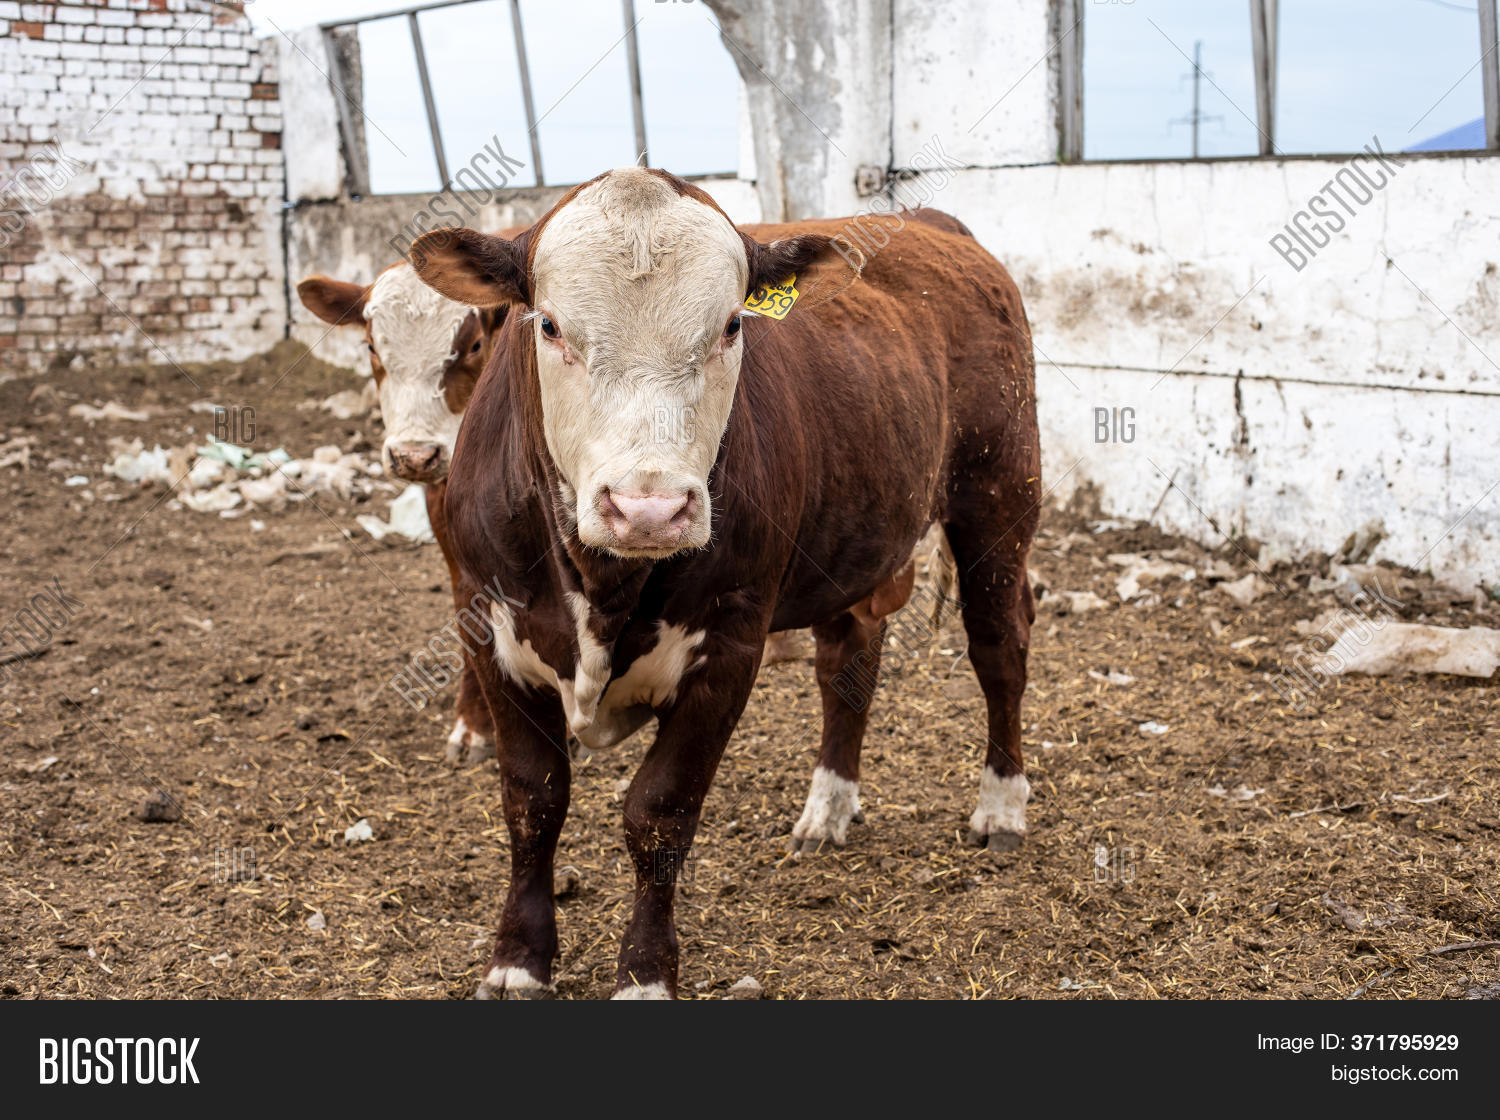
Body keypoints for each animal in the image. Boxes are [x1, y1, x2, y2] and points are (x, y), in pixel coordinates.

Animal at [409, 168, 1040, 999]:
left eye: (733, 327)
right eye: (547, 325)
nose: (648, 507)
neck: (601, 585)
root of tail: (935, 225)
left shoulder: (730, 645)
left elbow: (659, 811)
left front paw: (645, 974)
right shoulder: (492, 632)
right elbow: (532, 798)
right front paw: (517, 959)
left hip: (997, 496)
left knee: (999, 648)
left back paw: (1000, 806)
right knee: (849, 658)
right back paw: (829, 807)